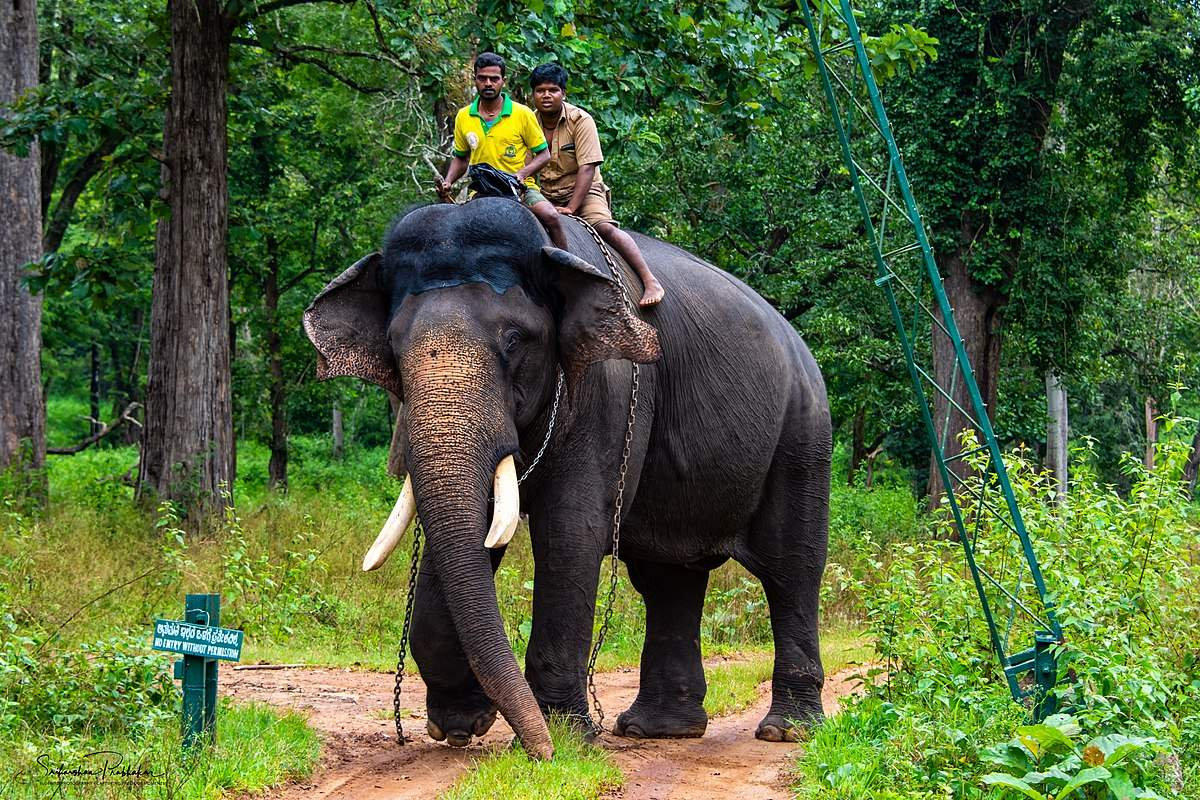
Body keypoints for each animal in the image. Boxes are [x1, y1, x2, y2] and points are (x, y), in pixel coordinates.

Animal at [303, 197, 830, 760]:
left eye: (515, 340)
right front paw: (460, 728)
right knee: (668, 578)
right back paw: (657, 730)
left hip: (802, 434)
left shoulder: (609, 386)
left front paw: (562, 738)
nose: (539, 751)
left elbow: (570, 532)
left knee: (790, 568)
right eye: (393, 348)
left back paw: (787, 731)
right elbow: (475, 533)